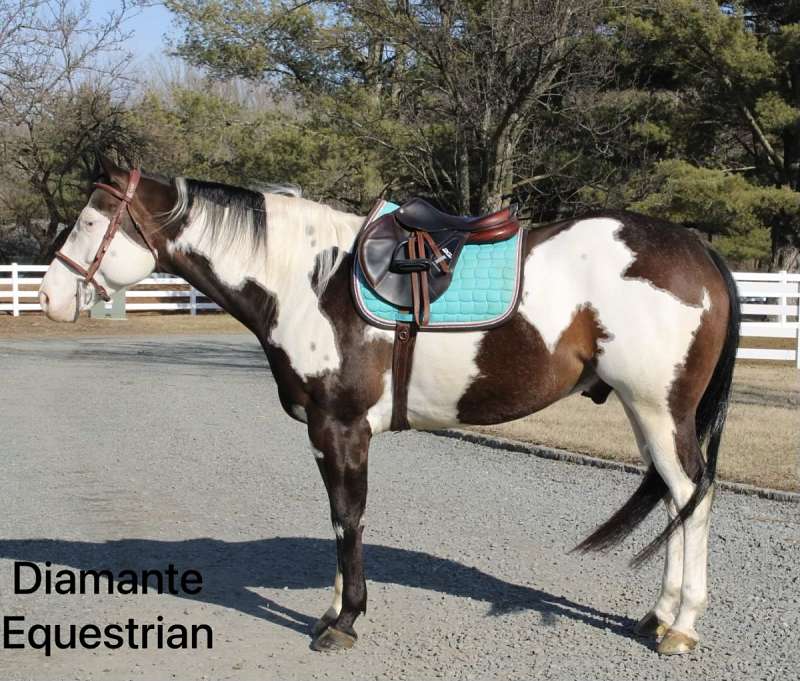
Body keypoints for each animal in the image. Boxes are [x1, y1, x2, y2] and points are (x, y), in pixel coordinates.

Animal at [38, 156, 739, 655]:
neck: (312, 282)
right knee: (677, 500)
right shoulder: (329, 433)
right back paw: (657, 617)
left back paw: (681, 627)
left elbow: (348, 519)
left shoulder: (341, 427)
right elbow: (337, 519)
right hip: (647, 414)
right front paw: (334, 609)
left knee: (694, 495)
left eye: (92, 221)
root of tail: (698, 250)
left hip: (659, 409)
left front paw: (343, 622)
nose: (48, 298)